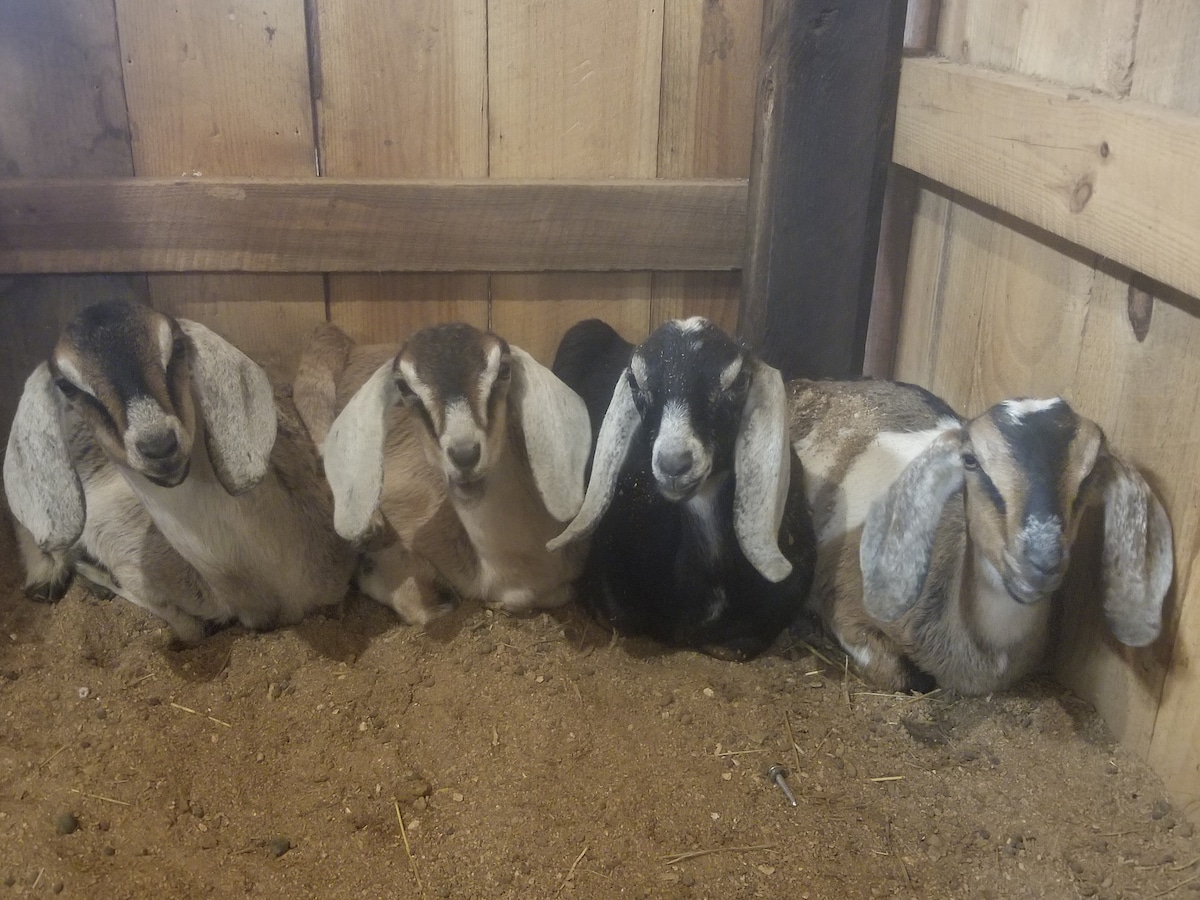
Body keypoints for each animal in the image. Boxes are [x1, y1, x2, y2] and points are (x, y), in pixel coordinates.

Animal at [4, 301, 355, 641]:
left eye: (176, 347)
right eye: (66, 384)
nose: (158, 445)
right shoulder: (126, 556)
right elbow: (189, 629)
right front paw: (90, 574)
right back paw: (46, 576)